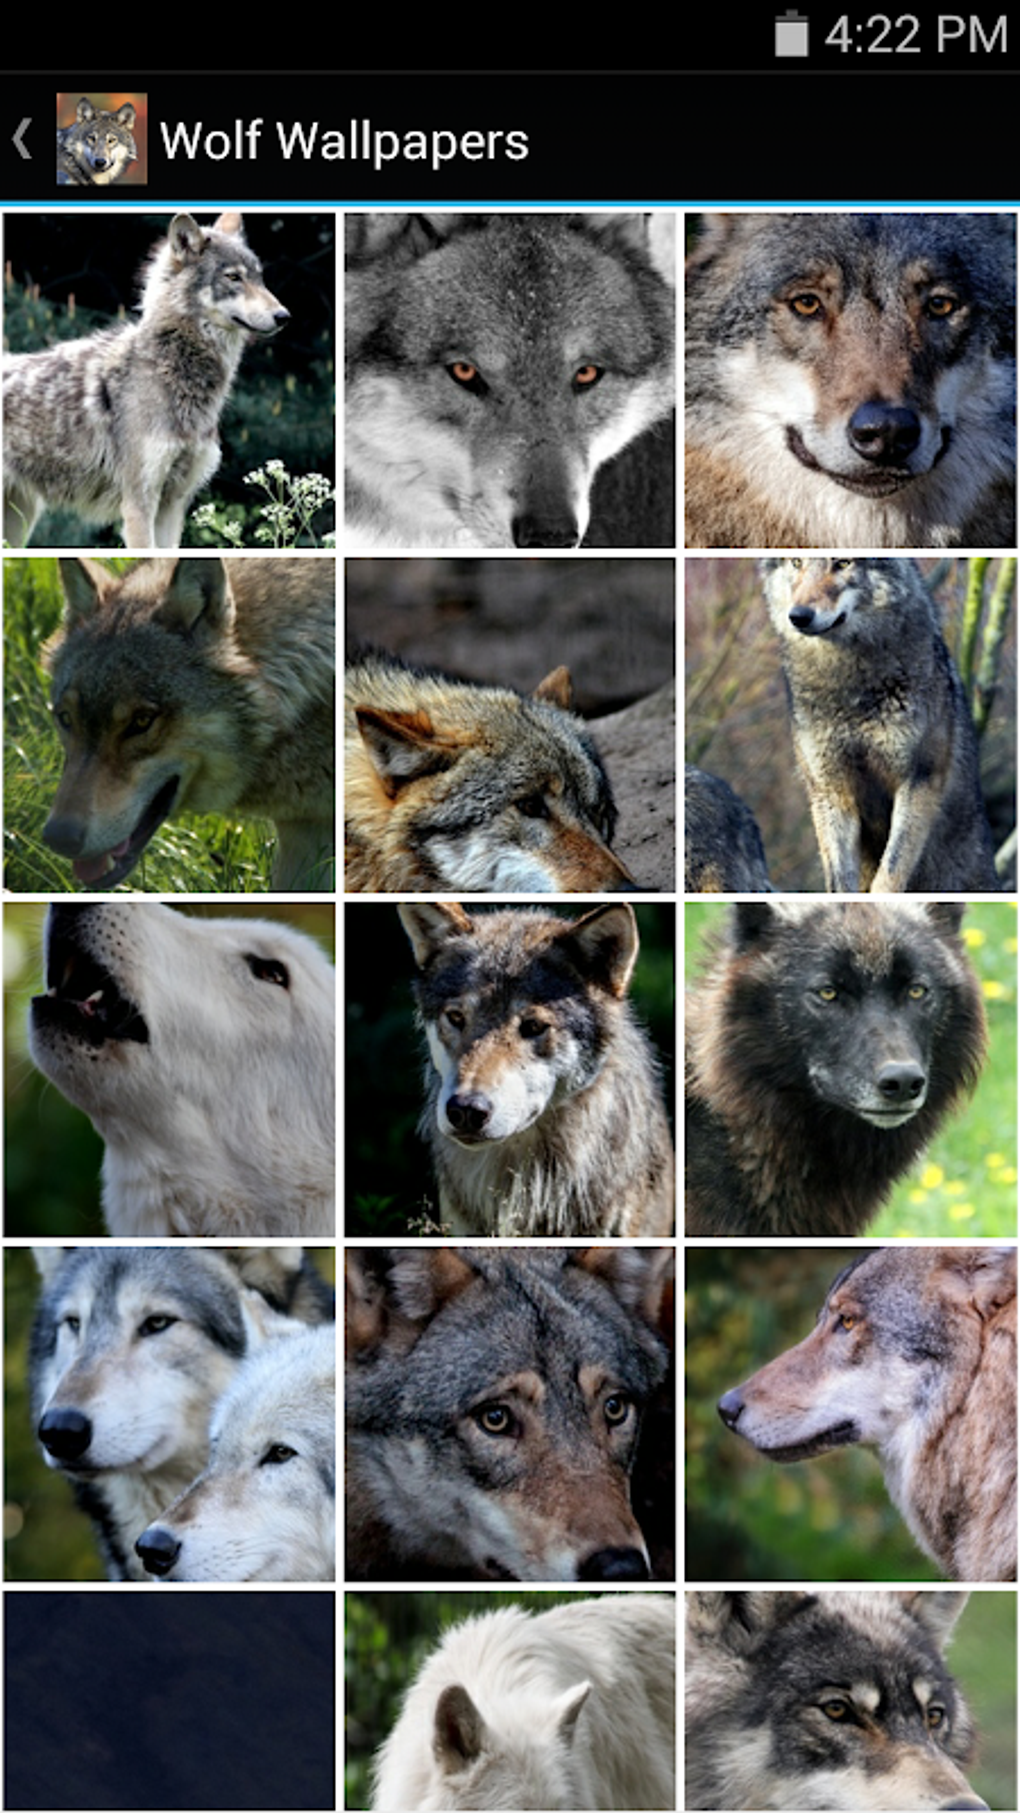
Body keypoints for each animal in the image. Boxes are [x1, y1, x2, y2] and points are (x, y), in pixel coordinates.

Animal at [4, 211, 288, 548]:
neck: (173, 372)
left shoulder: (173, 505)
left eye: (259, 278)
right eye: (233, 277)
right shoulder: (139, 504)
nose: (284, 316)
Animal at [762, 557, 1000, 893]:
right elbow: (840, 884)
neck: (851, 690)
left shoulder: (919, 781)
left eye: (843, 563)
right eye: (796, 563)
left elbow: (889, 874)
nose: (798, 616)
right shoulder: (830, 791)